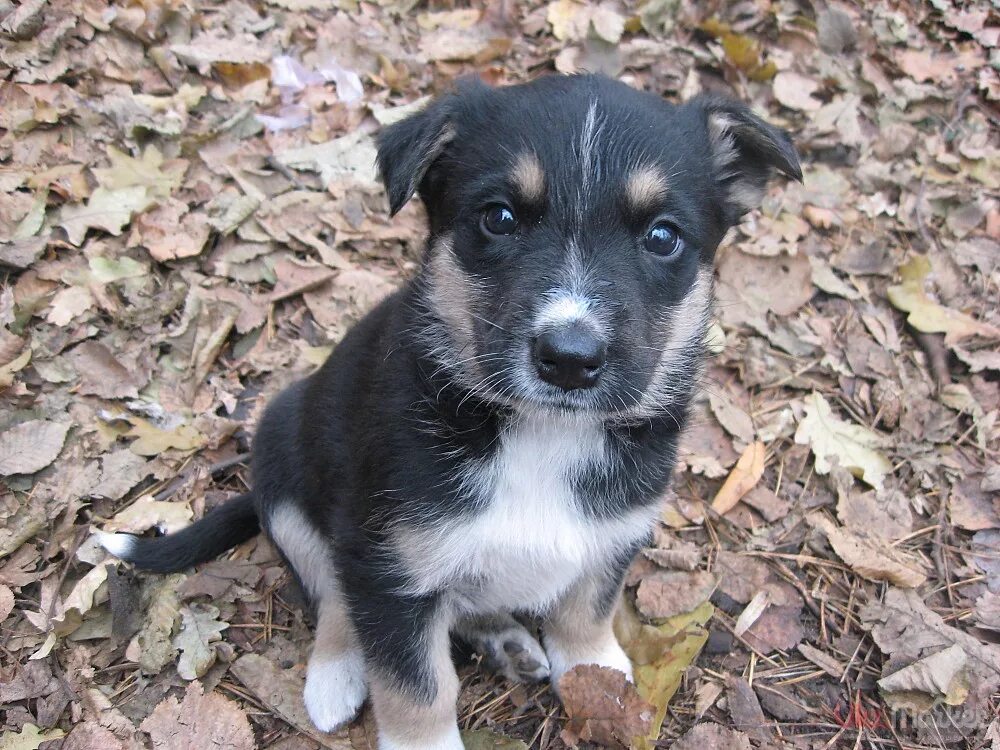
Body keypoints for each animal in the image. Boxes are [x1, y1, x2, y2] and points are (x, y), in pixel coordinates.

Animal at [97, 75, 800, 750]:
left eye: (662, 236)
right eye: (499, 218)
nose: (570, 359)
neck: (540, 432)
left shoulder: (612, 532)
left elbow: (587, 608)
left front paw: (596, 675)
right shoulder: (387, 561)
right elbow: (416, 684)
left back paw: (509, 641)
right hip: (285, 468)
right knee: (330, 590)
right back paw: (335, 673)